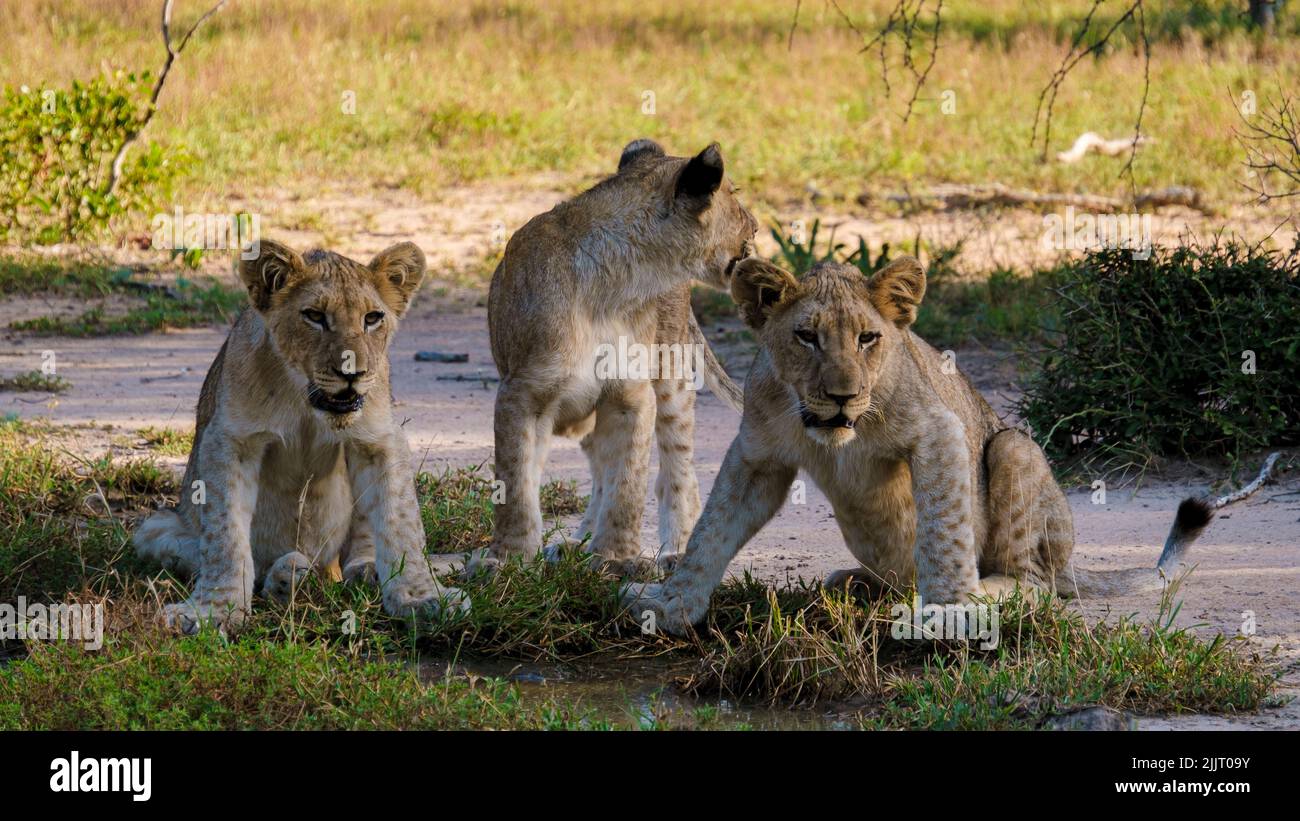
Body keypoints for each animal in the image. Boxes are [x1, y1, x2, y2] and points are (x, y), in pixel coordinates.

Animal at [134, 240, 467, 634]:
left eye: (372, 318)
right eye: (314, 316)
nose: (352, 373)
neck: (306, 402)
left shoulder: (380, 439)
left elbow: (402, 526)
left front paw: (421, 599)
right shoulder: (230, 440)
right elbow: (225, 537)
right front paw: (214, 610)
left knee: (356, 552)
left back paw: (359, 572)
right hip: (154, 526)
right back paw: (286, 576)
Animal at [477, 139, 756, 576]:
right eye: (734, 194)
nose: (757, 226)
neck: (620, 280)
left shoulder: (631, 395)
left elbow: (628, 483)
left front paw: (615, 558)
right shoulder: (522, 394)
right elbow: (516, 483)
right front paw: (509, 560)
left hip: (672, 379)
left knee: (678, 473)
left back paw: (676, 552)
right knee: (597, 469)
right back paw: (575, 545)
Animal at [622, 256, 1212, 634]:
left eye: (868, 338)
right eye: (806, 337)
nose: (842, 396)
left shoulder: (938, 428)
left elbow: (943, 531)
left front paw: (951, 610)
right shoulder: (756, 454)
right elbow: (711, 531)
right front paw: (669, 604)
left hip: (1014, 448)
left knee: (1038, 584)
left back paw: (988, 592)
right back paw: (856, 584)